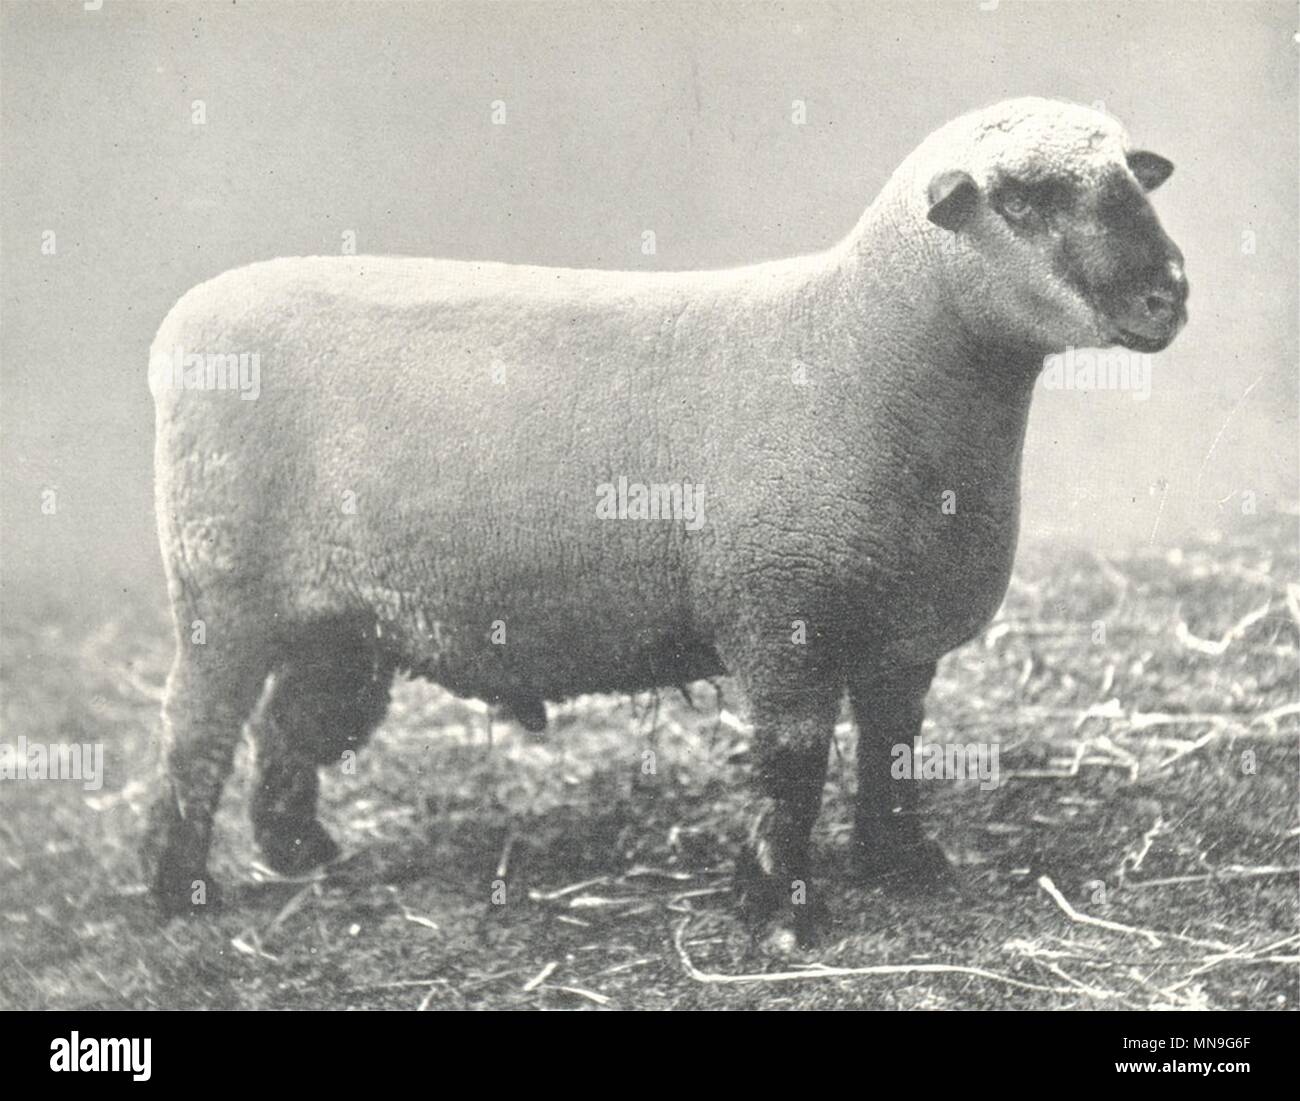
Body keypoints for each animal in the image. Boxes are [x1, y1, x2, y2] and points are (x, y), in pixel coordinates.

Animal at [140, 97, 1188, 952]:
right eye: (1022, 200)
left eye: (1134, 177)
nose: (1169, 292)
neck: (863, 345)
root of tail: (185, 324)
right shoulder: (779, 616)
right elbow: (792, 765)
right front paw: (777, 905)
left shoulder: (902, 630)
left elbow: (893, 744)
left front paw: (902, 864)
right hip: (222, 585)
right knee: (197, 731)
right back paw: (179, 885)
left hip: (339, 616)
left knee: (295, 724)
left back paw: (302, 850)